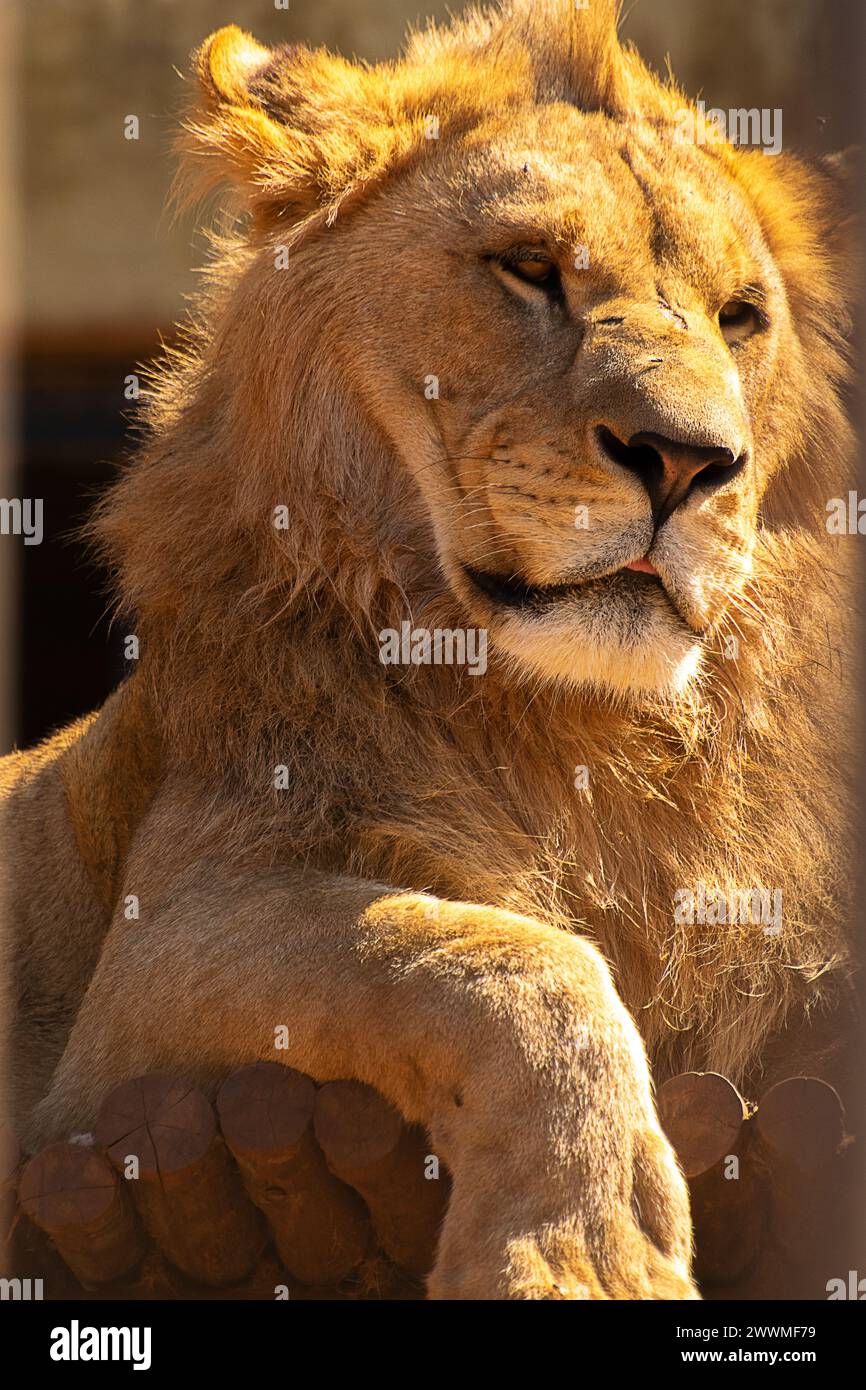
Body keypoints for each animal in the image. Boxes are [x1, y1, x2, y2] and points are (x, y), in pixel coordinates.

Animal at [0, 0, 858, 1299]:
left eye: (738, 319)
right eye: (529, 270)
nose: (689, 460)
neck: (586, 728)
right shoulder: (142, 978)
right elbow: (509, 961)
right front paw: (579, 1255)